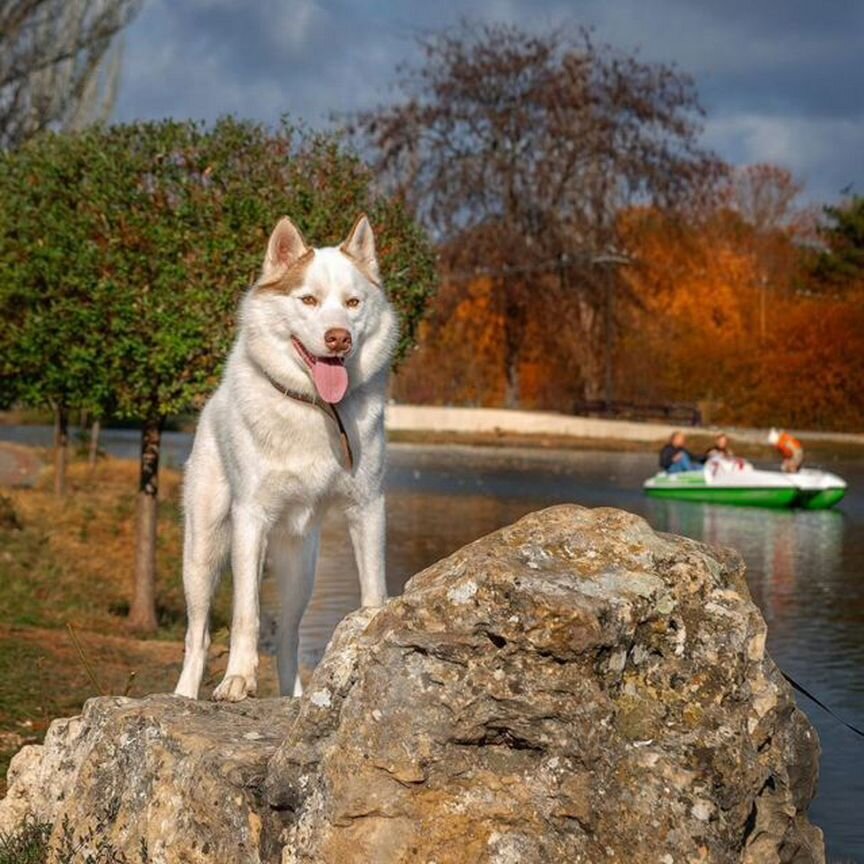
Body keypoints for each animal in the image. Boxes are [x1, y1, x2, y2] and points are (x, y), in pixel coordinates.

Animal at [176, 214, 398, 704]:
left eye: (353, 302)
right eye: (308, 300)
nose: (339, 338)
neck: (314, 407)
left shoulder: (368, 506)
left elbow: (374, 589)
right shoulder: (250, 519)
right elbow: (246, 613)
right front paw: (237, 679)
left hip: (301, 568)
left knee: (291, 635)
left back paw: (294, 696)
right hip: (202, 551)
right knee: (198, 633)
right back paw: (182, 694)